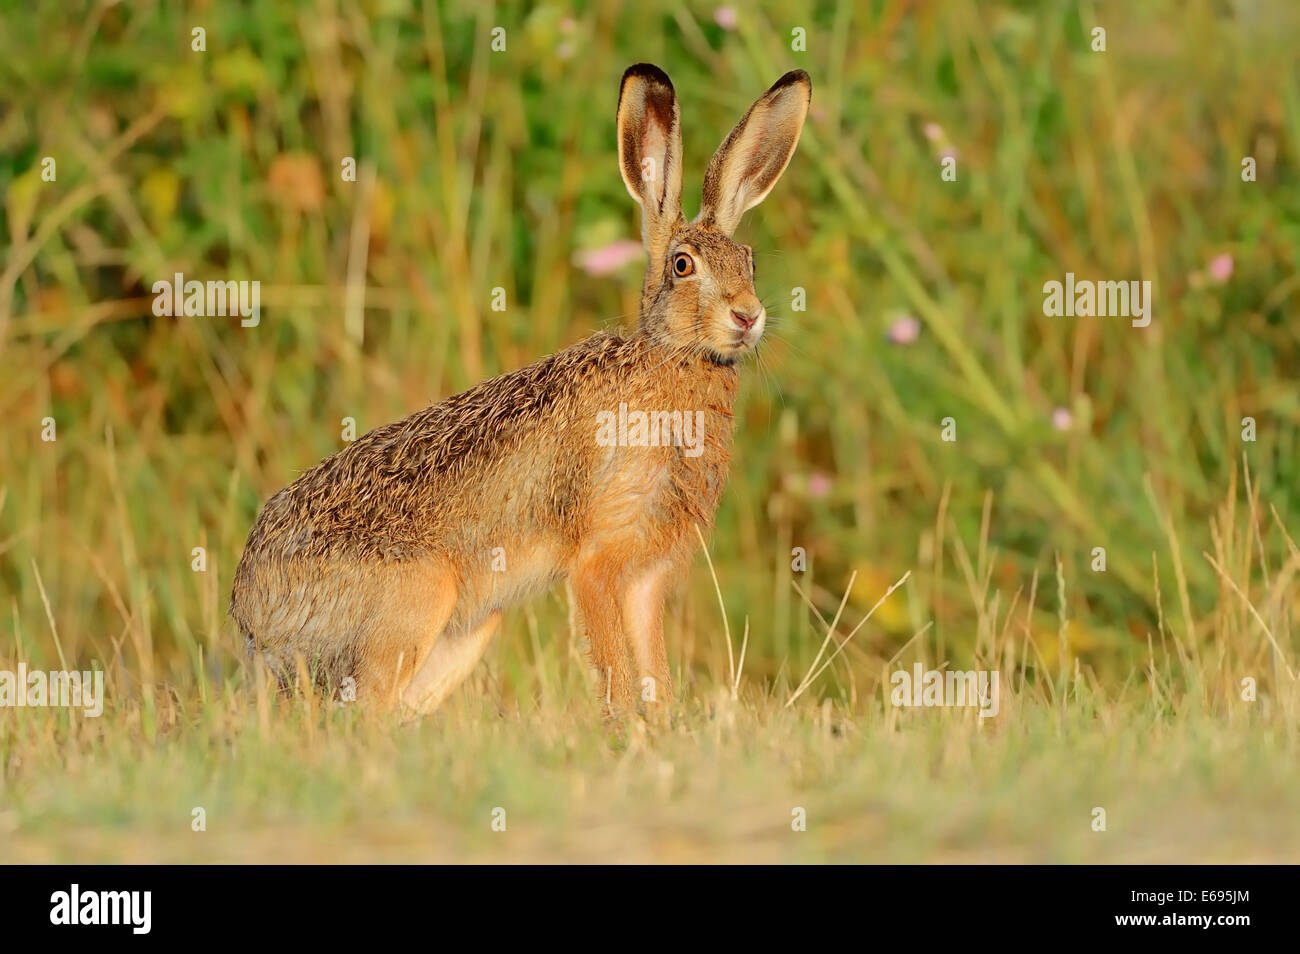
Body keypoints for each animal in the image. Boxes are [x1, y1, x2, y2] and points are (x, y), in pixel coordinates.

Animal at [230, 63, 810, 717]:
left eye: (750, 261)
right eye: (683, 266)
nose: (748, 316)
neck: (673, 358)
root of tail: (251, 613)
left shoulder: (646, 576)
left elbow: (654, 670)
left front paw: (662, 730)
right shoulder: (598, 560)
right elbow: (614, 666)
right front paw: (628, 732)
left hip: (463, 632)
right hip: (417, 600)